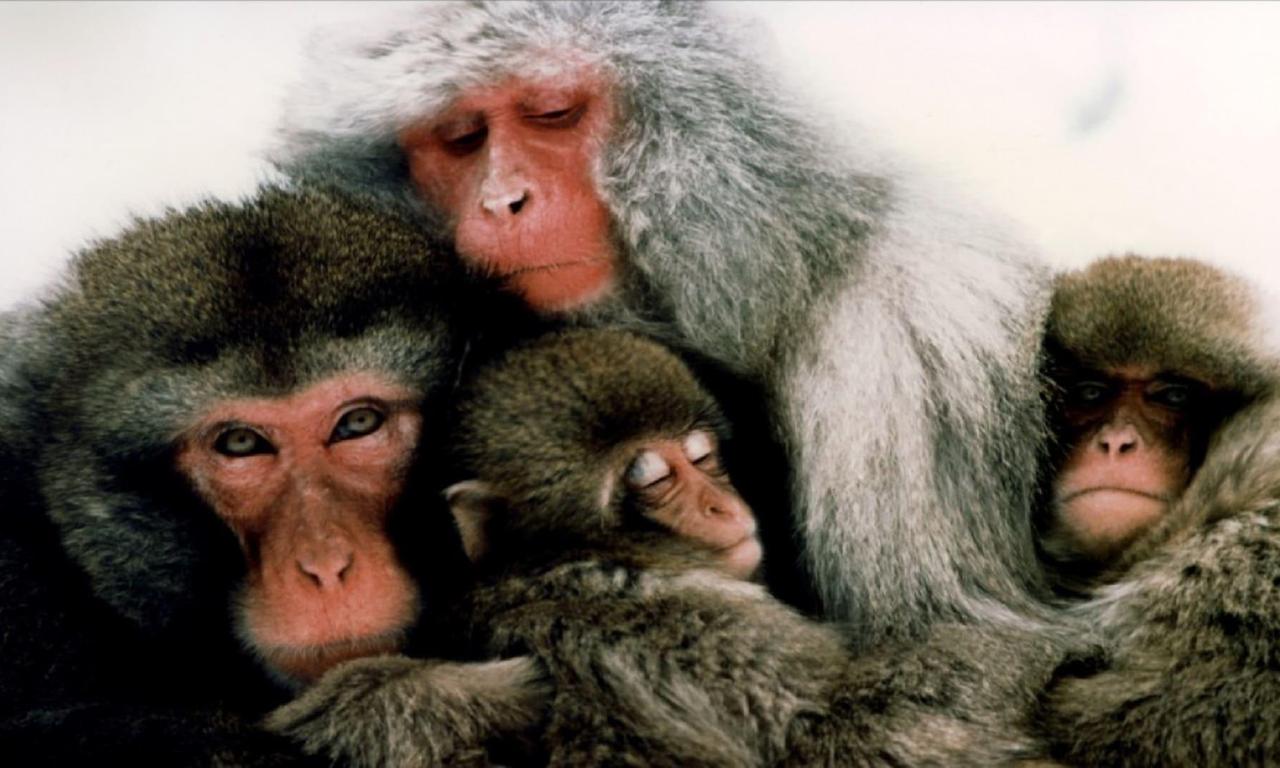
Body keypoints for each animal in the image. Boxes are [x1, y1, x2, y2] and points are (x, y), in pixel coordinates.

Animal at [269, 328, 1070, 767]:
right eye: (650, 479)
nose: (722, 506)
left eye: (701, 457)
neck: (552, 564)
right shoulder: (681, 622)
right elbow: (850, 734)